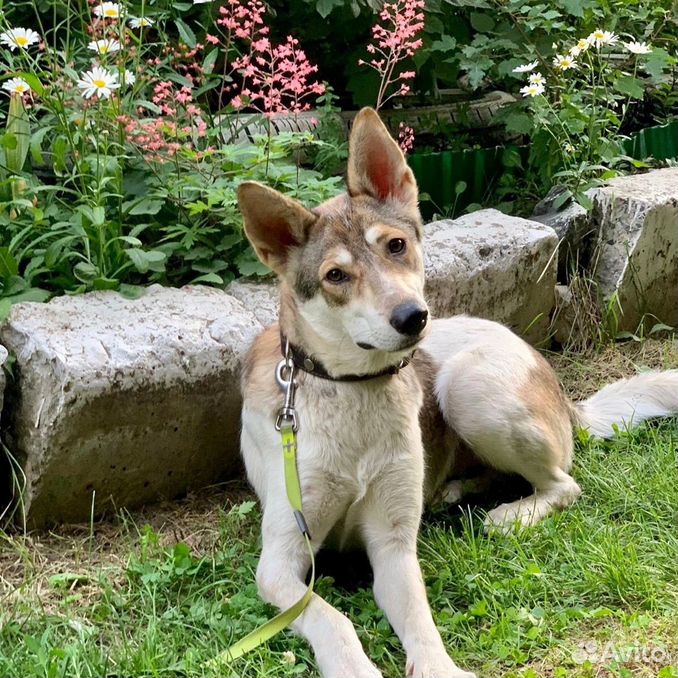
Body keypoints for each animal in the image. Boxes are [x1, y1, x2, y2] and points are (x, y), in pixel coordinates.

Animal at [236, 107, 678, 678]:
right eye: (335, 275)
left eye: (396, 245)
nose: (412, 318)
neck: (355, 391)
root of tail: (562, 395)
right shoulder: (281, 562)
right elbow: (332, 618)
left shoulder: (393, 545)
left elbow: (421, 623)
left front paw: (439, 668)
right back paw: (458, 489)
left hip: (469, 388)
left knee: (564, 484)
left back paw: (509, 513)